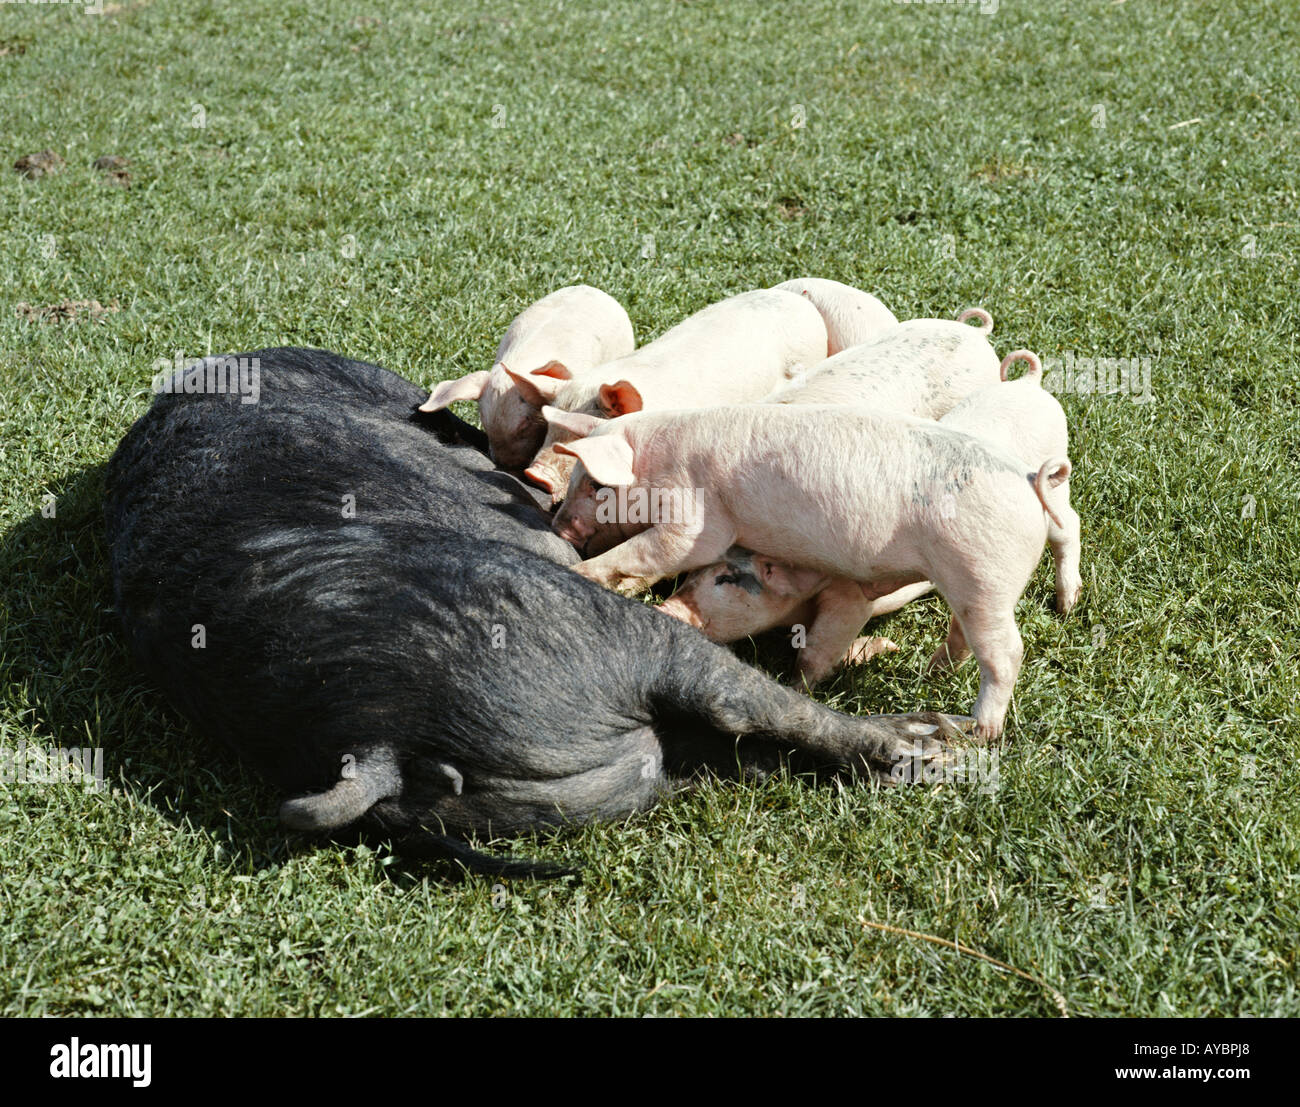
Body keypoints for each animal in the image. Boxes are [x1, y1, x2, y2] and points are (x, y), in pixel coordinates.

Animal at [551, 404, 1072, 739]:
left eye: (595, 484)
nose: (560, 528)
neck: (656, 459)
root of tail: (1028, 480)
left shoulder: (696, 517)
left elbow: (658, 549)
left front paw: (584, 572)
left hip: (984, 570)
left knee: (1005, 651)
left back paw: (980, 731)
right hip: (969, 577)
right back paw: (939, 668)